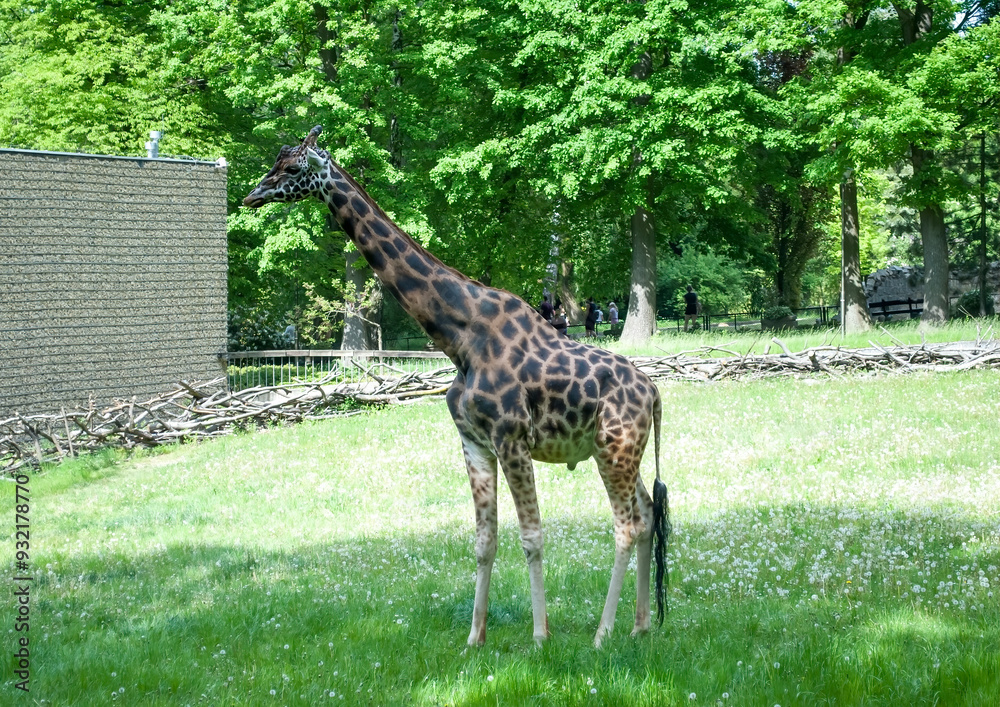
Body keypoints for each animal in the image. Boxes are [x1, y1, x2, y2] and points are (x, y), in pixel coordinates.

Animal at [244, 126, 670, 647]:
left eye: (291, 167)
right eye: (276, 162)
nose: (251, 195)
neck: (458, 337)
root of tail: (653, 392)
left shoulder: (512, 439)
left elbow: (532, 536)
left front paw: (540, 637)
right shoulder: (473, 441)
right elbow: (485, 540)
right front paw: (474, 638)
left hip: (615, 447)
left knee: (627, 525)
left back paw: (602, 634)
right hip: (618, 450)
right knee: (648, 516)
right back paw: (639, 625)